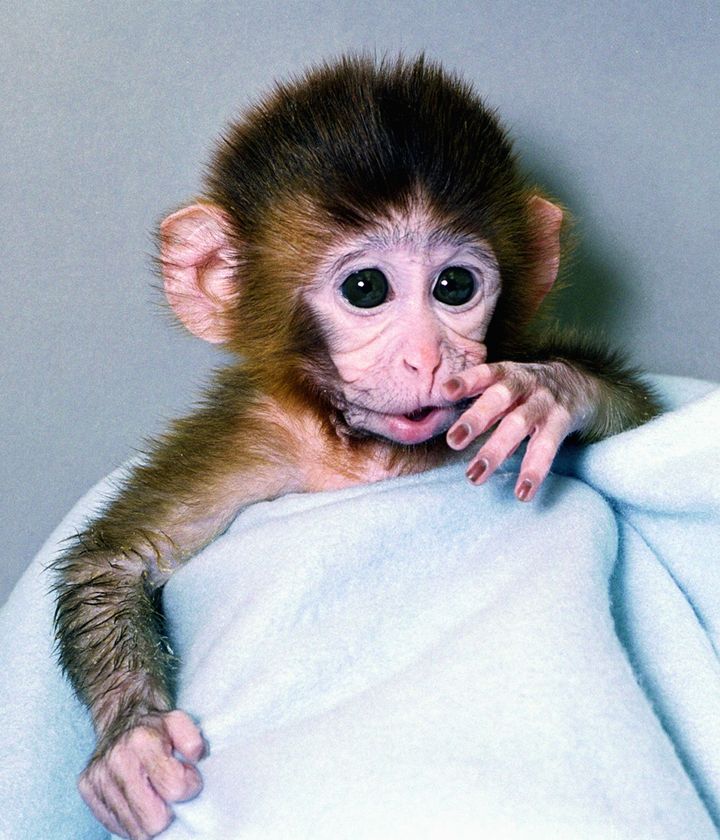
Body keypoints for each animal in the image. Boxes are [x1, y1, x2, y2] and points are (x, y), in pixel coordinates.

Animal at [51, 55, 660, 839]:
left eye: (454, 285)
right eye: (367, 288)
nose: (427, 357)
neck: (373, 449)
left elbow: (647, 411)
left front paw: (546, 393)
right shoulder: (255, 436)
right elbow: (116, 560)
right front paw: (133, 739)